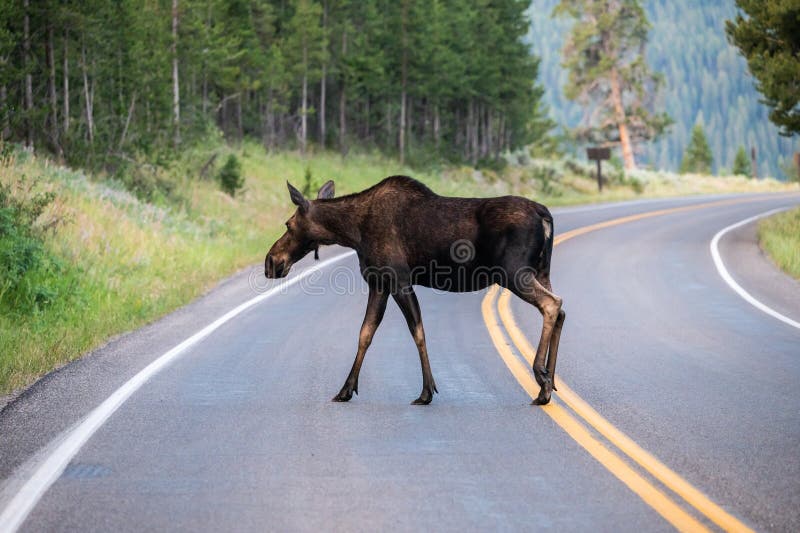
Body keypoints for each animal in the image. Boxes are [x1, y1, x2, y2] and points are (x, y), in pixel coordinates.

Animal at [264, 176, 565, 405]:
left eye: (288, 224)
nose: (271, 261)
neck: (353, 233)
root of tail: (545, 214)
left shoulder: (398, 279)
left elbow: (417, 331)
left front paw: (426, 392)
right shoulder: (379, 283)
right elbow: (365, 333)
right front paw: (346, 390)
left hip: (514, 273)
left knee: (552, 303)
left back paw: (540, 377)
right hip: (542, 271)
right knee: (560, 309)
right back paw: (548, 385)